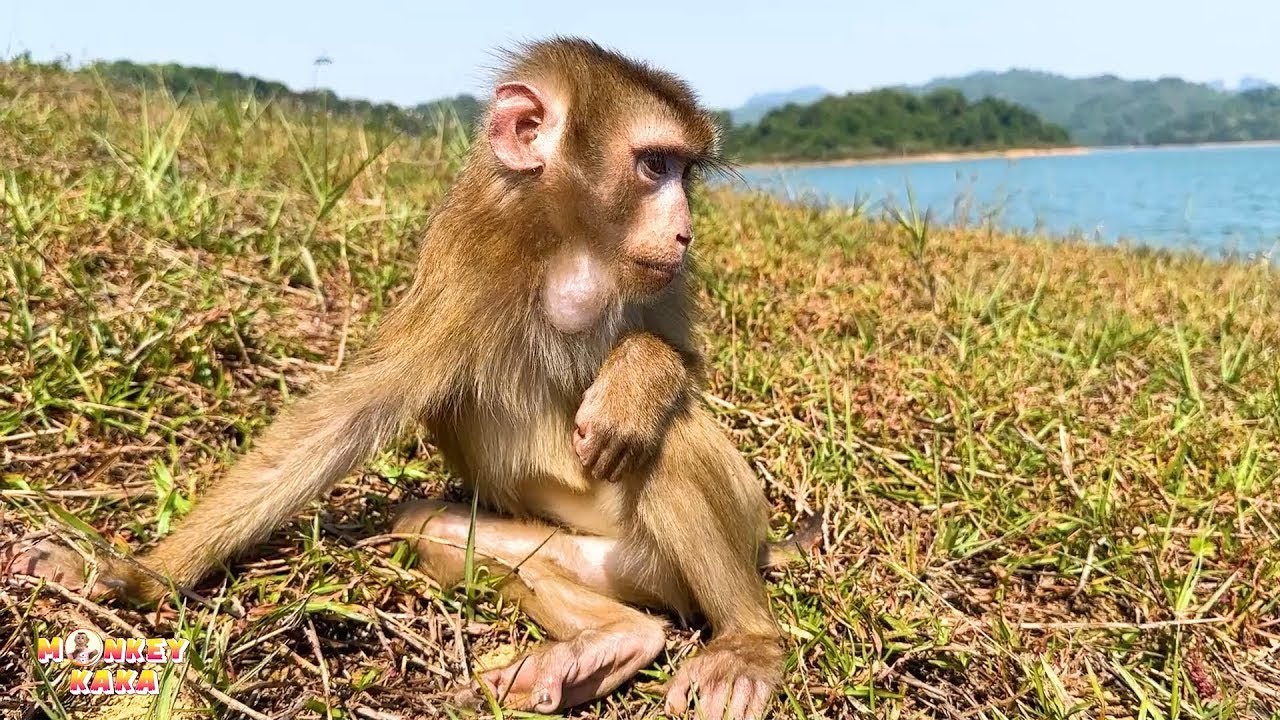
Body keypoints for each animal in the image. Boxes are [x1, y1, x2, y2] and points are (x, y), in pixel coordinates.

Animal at [5, 38, 800, 719]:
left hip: (712, 536)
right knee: (430, 529)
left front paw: (637, 379)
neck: (570, 250)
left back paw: (748, 644)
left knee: (671, 439)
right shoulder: (460, 272)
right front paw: (143, 572)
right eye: (655, 165)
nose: (684, 230)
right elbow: (348, 418)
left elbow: (683, 368)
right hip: (599, 561)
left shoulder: (659, 278)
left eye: (683, 171)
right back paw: (607, 643)